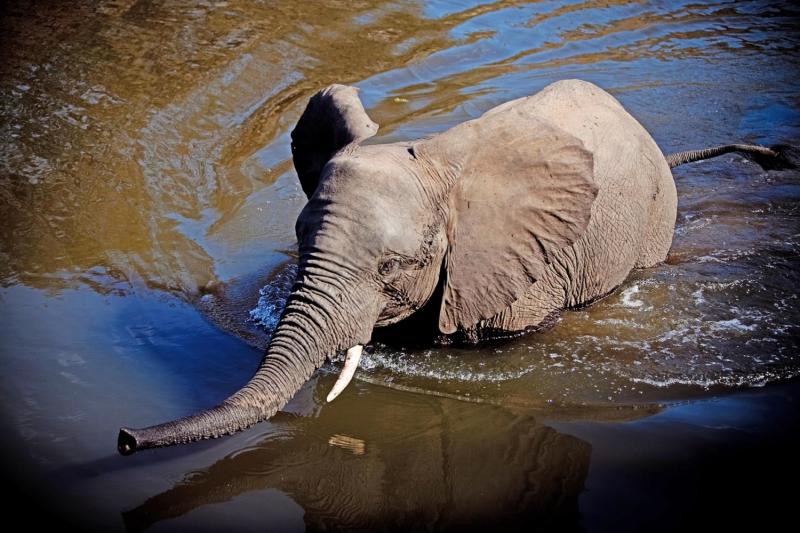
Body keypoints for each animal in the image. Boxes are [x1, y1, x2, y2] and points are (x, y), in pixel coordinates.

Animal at [118, 79, 795, 454]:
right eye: (299, 237)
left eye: (397, 265)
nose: (125, 438)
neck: (439, 162)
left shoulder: (519, 276)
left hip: (653, 222)